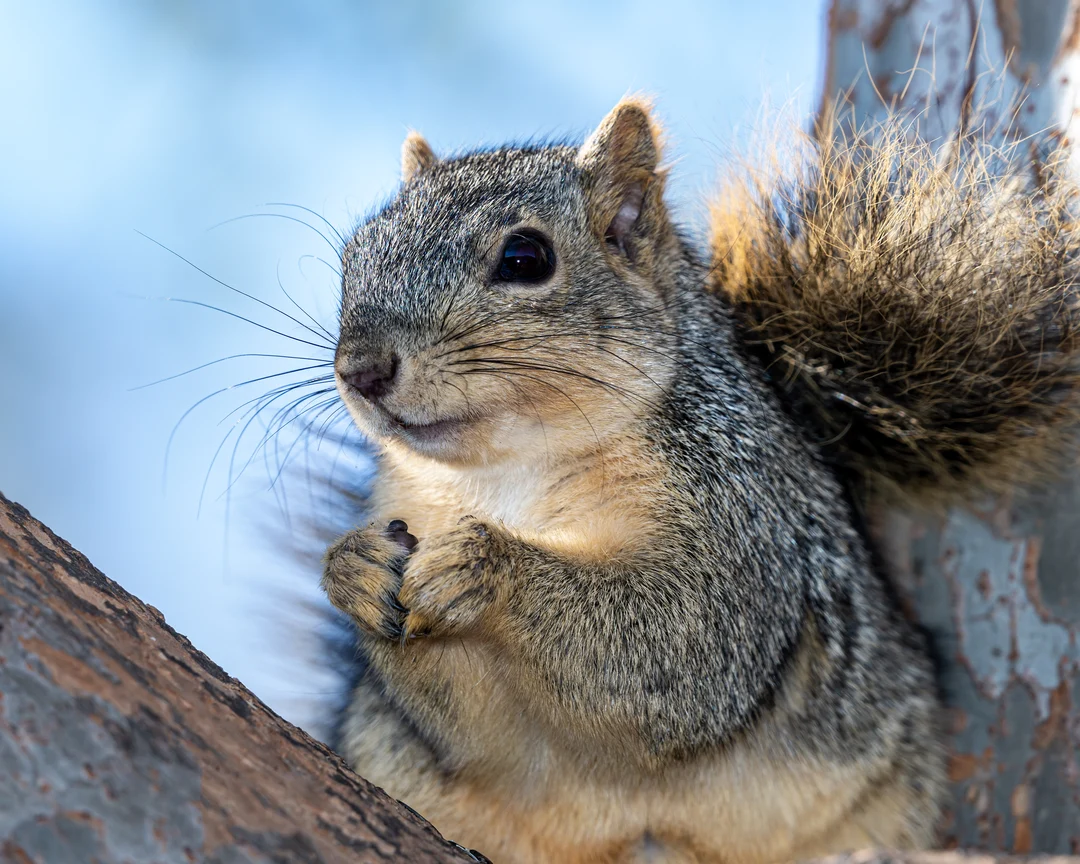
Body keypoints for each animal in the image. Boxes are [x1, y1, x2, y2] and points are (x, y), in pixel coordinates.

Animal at [317, 98, 1080, 864]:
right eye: (355, 257)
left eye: (525, 259)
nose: (361, 369)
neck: (504, 473)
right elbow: (467, 734)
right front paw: (353, 570)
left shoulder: (744, 524)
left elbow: (687, 646)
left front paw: (485, 565)